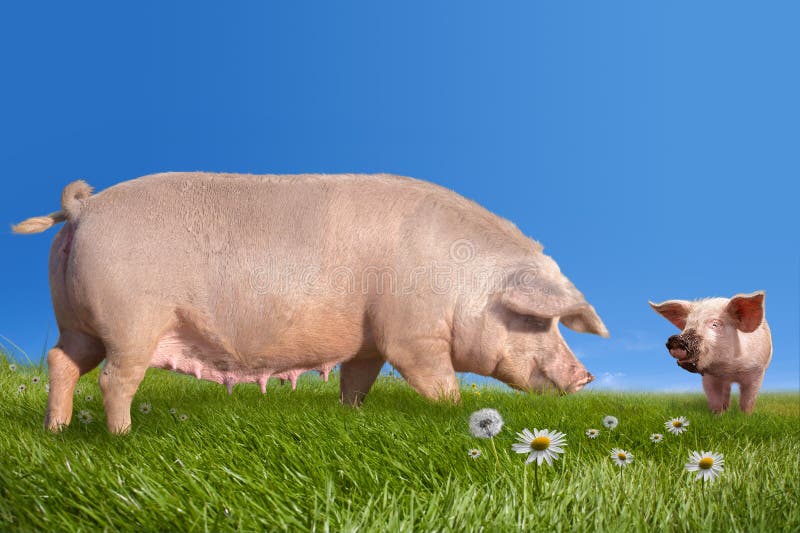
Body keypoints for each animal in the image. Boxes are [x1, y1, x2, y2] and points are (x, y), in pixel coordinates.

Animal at [14, 172, 608, 434]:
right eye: (535, 321)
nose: (586, 376)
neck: (462, 285)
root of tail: (84, 208)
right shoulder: (411, 336)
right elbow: (439, 384)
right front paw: (455, 414)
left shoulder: (369, 343)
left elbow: (356, 381)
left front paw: (350, 417)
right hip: (131, 321)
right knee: (116, 379)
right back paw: (121, 437)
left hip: (79, 323)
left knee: (62, 361)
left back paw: (55, 430)